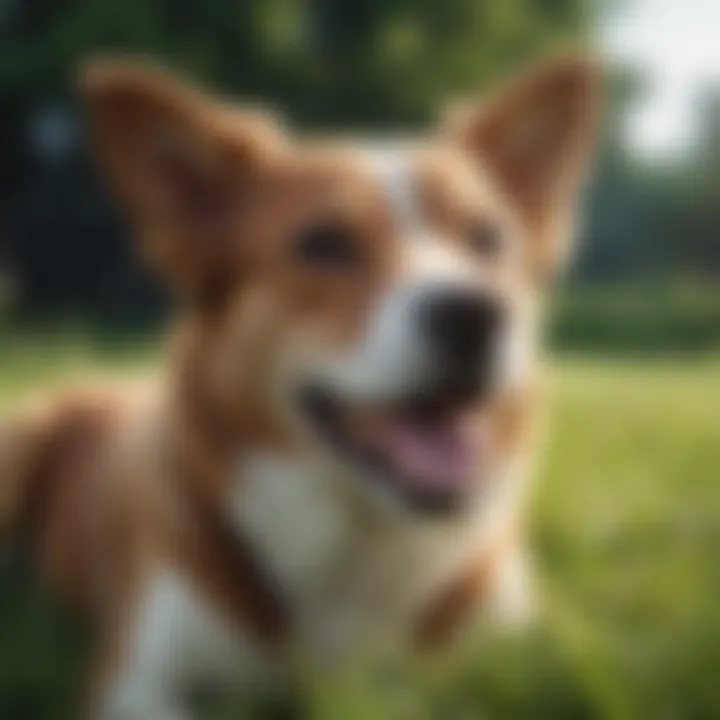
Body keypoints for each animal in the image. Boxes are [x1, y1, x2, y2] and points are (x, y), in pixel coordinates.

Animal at [0, 53, 596, 716]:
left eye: (488, 238)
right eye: (323, 242)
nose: (477, 314)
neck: (358, 533)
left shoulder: (526, 648)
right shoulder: (134, 681)